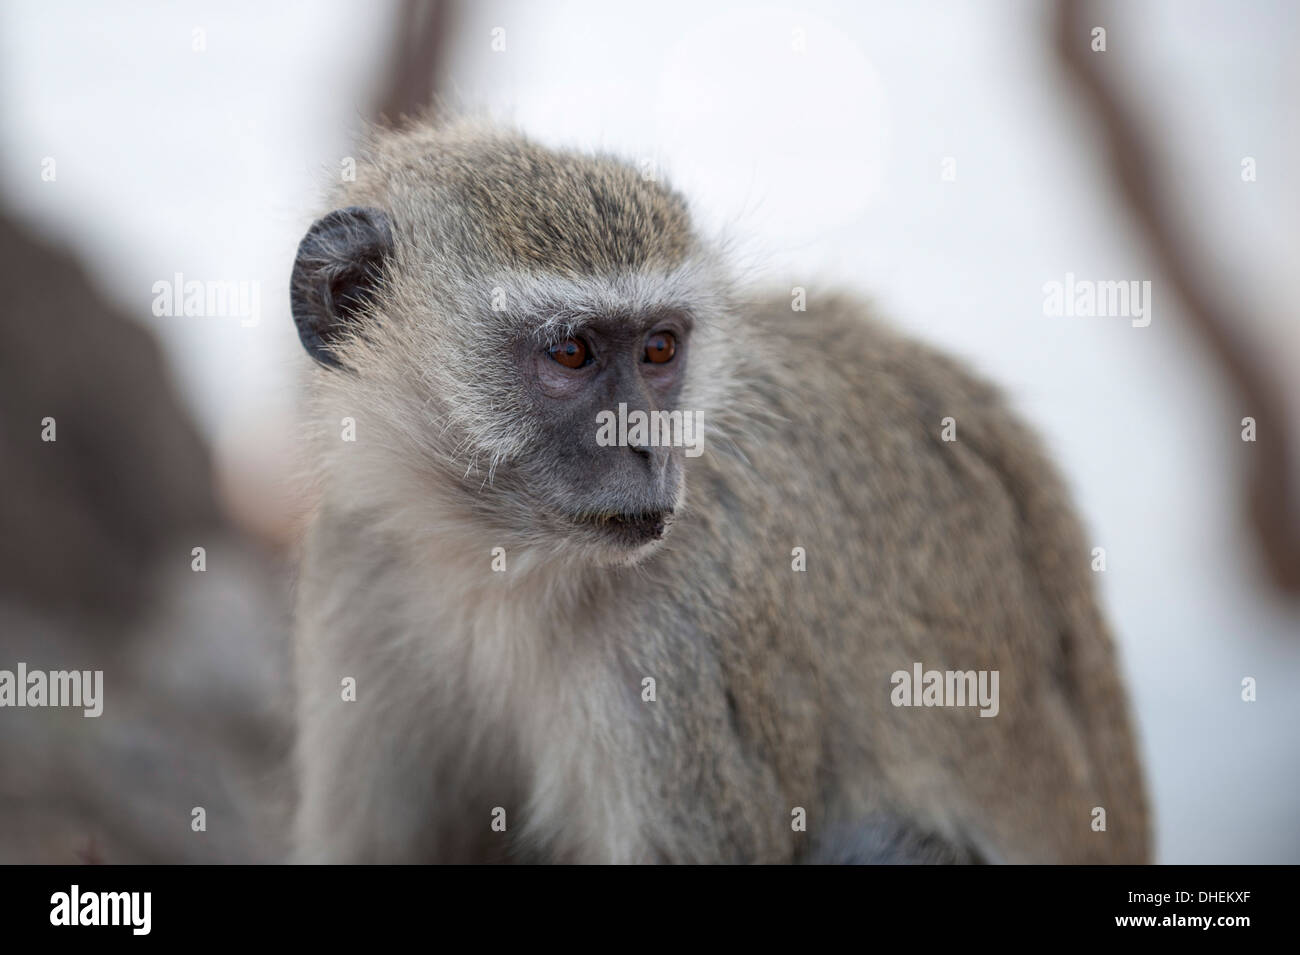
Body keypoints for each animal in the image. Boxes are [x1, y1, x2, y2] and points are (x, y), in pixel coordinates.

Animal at [287, 118, 1150, 864]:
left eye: (660, 348)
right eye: (571, 351)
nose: (645, 442)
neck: (496, 563)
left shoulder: (687, 633)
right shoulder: (362, 563)